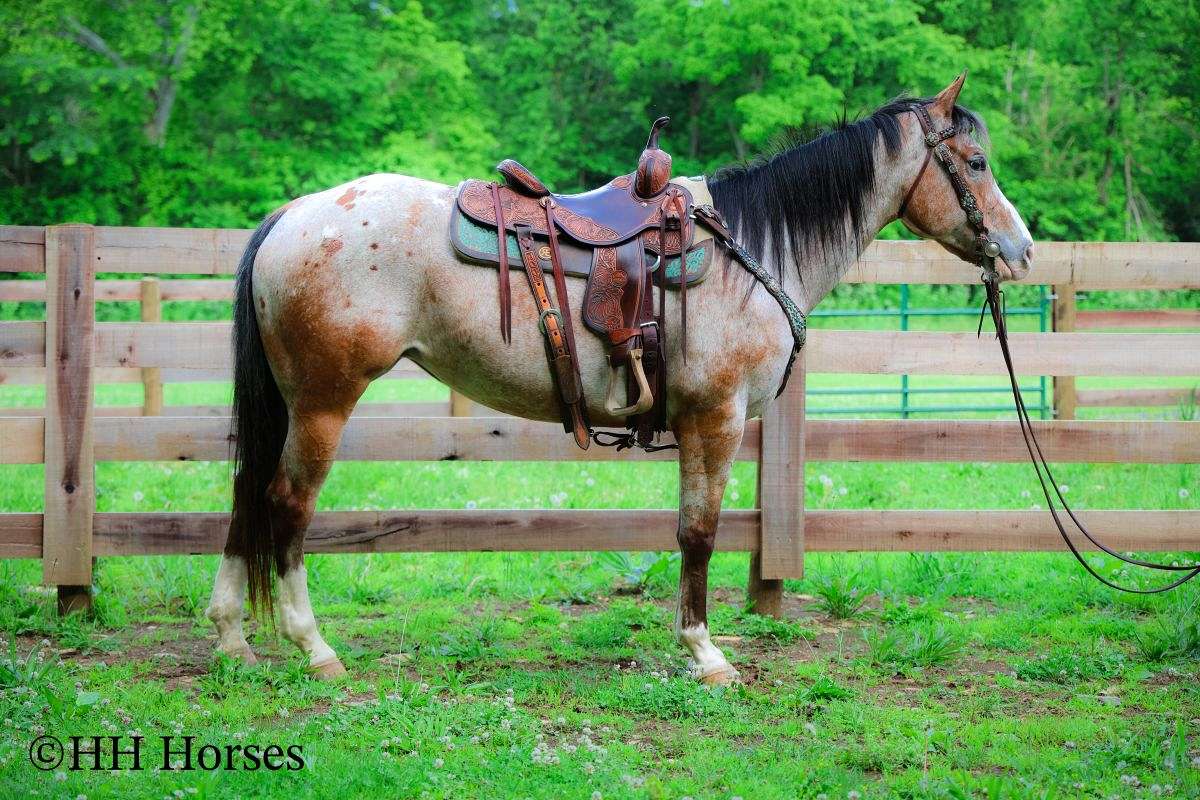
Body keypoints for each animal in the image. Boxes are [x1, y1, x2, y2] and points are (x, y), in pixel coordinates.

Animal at [204, 73, 1034, 684]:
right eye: (977, 163)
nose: (1022, 248)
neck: (752, 248)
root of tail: (291, 216)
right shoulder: (715, 418)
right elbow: (698, 532)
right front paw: (705, 654)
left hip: (290, 405)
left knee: (249, 493)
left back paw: (233, 639)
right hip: (323, 401)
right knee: (286, 505)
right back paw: (314, 648)